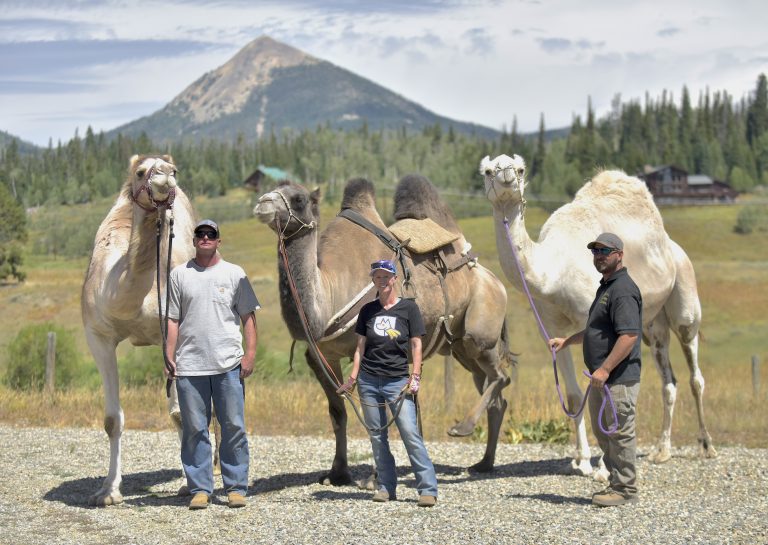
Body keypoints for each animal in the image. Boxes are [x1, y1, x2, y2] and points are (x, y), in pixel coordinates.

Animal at [81, 154, 201, 505]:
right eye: (139, 172)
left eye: (174, 169)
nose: (164, 177)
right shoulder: (98, 334)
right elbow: (112, 419)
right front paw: (108, 491)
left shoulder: (172, 335)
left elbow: (180, 413)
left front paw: (189, 483)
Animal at [254, 176, 514, 484]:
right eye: (271, 189)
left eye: (299, 199)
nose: (263, 203)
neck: (331, 294)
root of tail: (494, 280)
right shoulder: (321, 356)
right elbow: (337, 412)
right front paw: (337, 473)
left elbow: (374, 413)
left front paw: (373, 478)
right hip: (461, 348)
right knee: (495, 394)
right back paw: (484, 463)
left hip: (480, 333)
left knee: (500, 376)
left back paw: (462, 428)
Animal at [479, 153, 717, 477]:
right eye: (488, 171)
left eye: (520, 169)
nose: (505, 175)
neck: (554, 271)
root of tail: (672, 246)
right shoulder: (552, 328)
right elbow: (573, 394)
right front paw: (581, 461)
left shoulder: (594, 326)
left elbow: (600, 387)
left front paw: (604, 467)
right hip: (652, 325)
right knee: (669, 379)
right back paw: (662, 451)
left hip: (685, 293)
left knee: (694, 371)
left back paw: (706, 446)